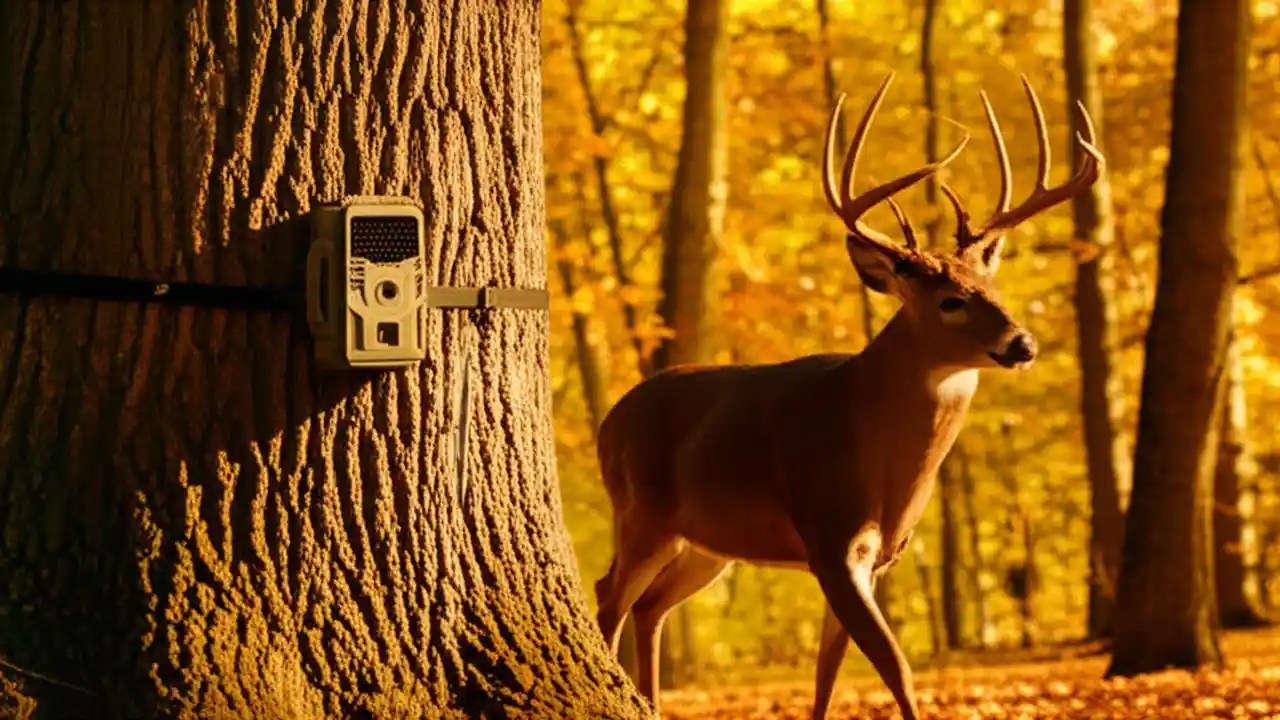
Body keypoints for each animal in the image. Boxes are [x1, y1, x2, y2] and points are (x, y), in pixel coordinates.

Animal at [592, 71, 1102, 720]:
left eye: (993, 286)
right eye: (950, 301)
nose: (1023, 342)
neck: (875, 455)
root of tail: (609, 421)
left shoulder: (876, 558)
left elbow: (827, 676)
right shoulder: (830, 539)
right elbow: (896, 667)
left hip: (709, 543)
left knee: (650, 604)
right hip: (642, 513)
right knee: (611, 595)